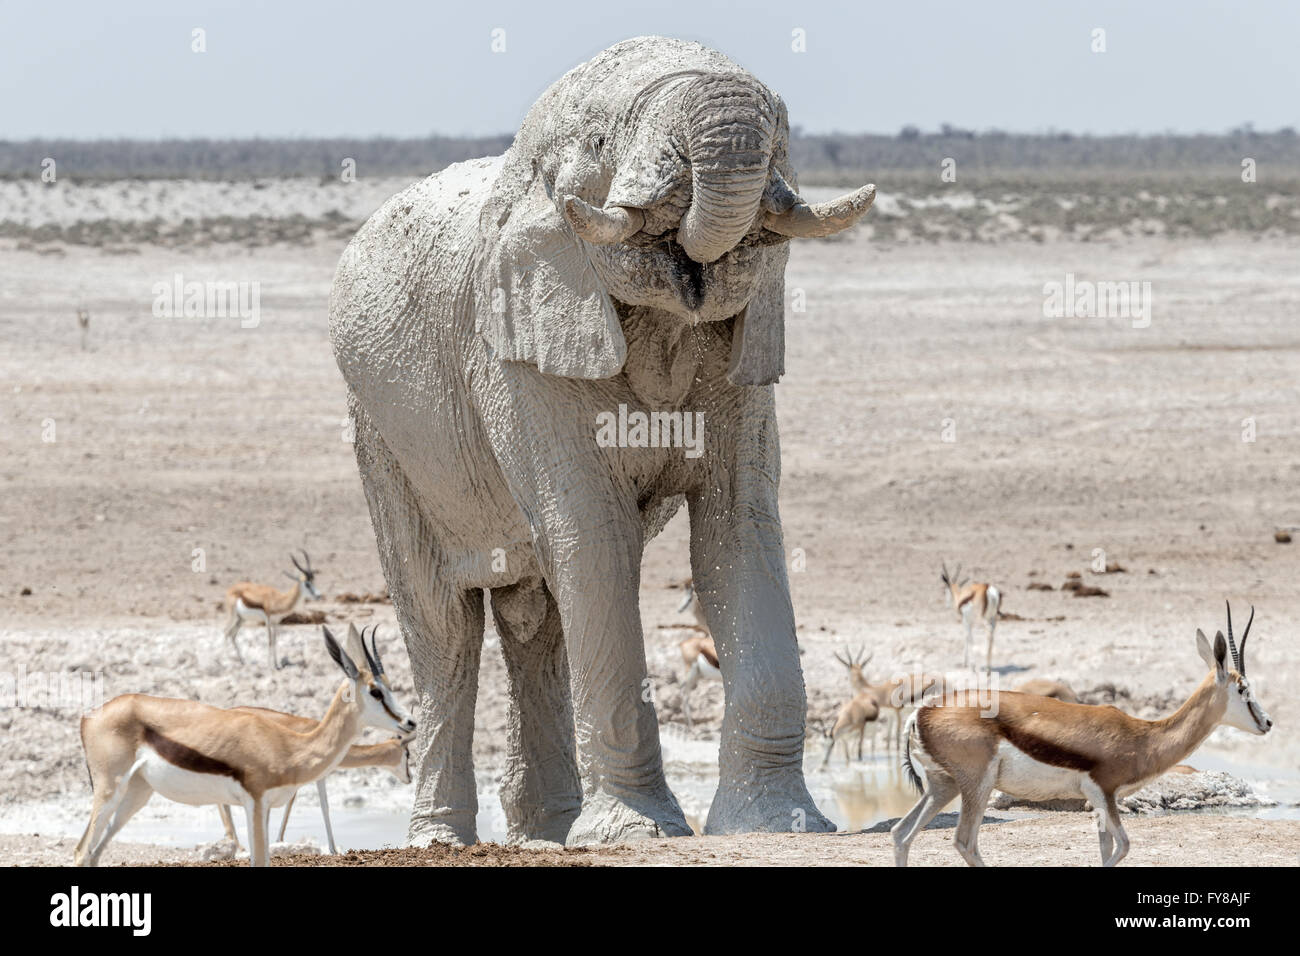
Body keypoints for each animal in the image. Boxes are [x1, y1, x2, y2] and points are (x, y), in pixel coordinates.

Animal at [328, 35, 875, 846]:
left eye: (783, 135)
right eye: (601, 142)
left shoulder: (744, 355)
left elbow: (737, 527)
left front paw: (782, 827)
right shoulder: (516, 354)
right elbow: (594, 534)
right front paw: (638, 833)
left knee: (539, 618)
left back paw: (546, 833)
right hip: (381, 435)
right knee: (444, 627)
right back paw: (443, 838)